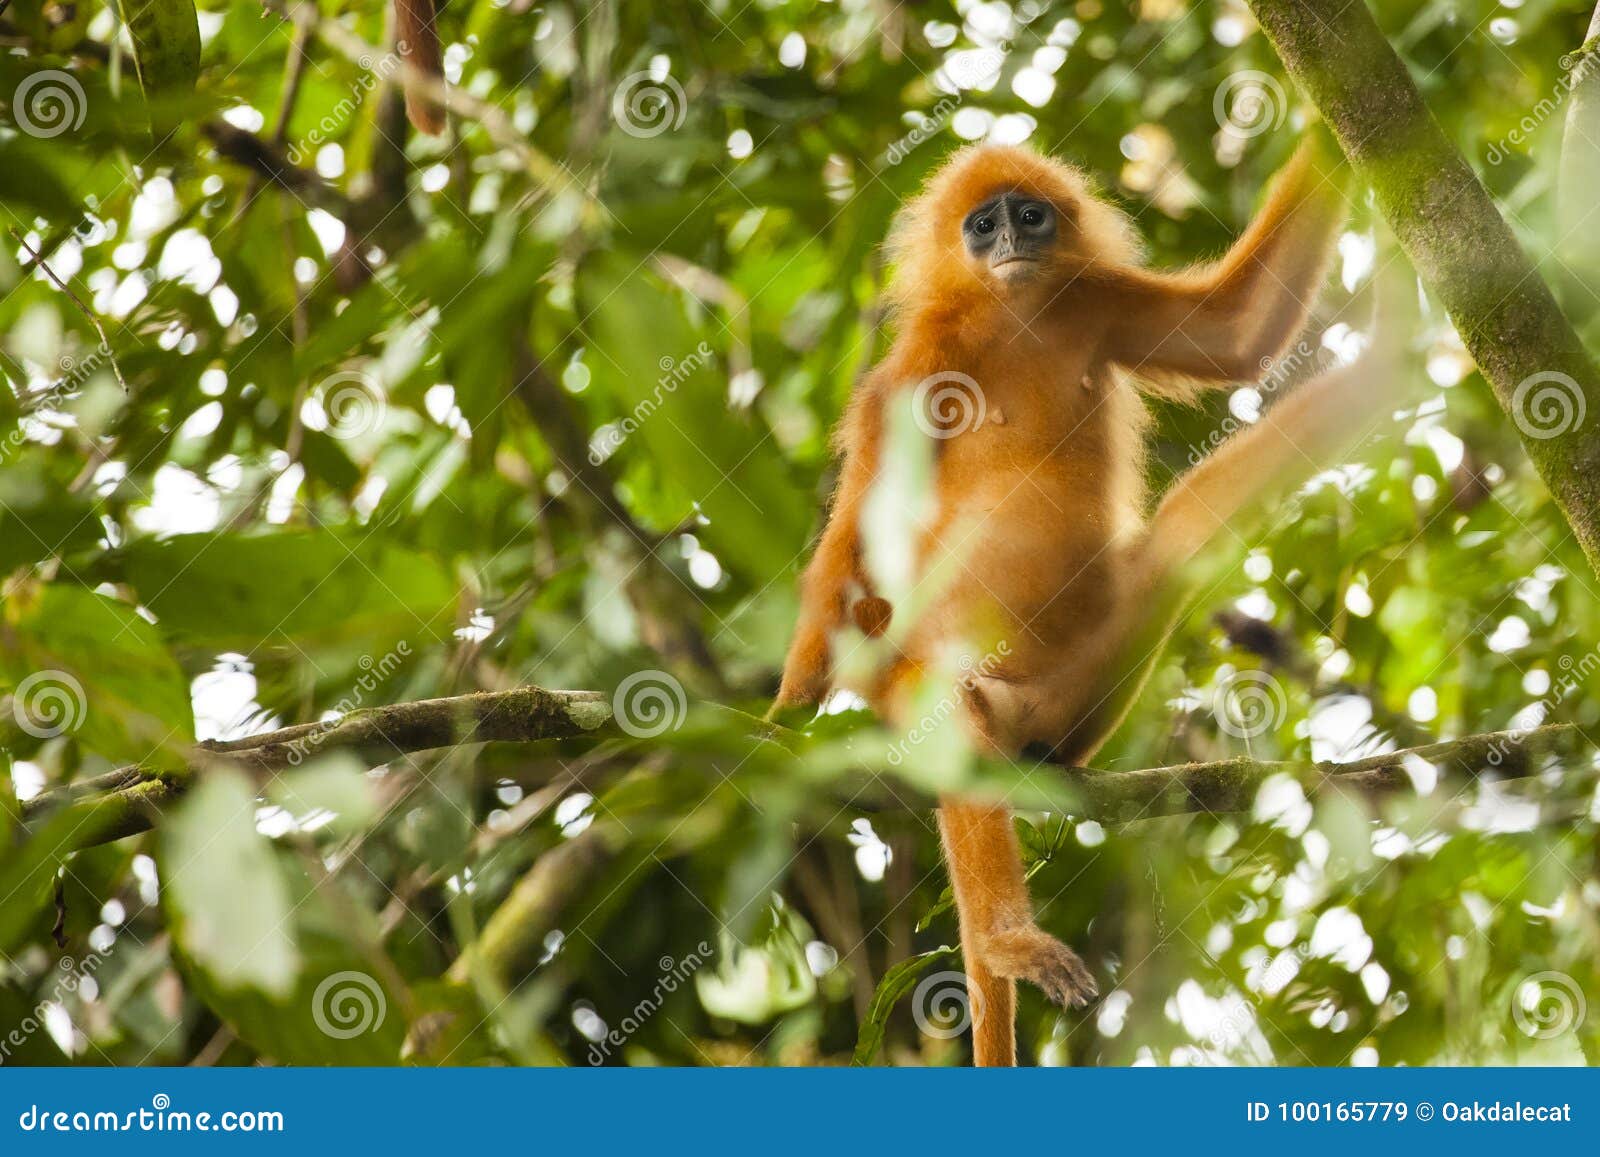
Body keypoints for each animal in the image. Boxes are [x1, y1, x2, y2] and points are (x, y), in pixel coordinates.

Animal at [772, 130, 1383, 1065]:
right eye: (981, 224)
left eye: (1030, 215)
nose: (1010, 241)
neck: (1015, 317)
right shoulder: (916, 369)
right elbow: (851, 549)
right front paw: (781, 718)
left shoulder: (1090, 300)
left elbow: (1239, 331)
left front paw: (1333, 118)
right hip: (940, 677)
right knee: (948, 715)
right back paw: (1004, 943)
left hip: (1089, 686)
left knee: (1183, 537)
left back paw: (1399, 366)